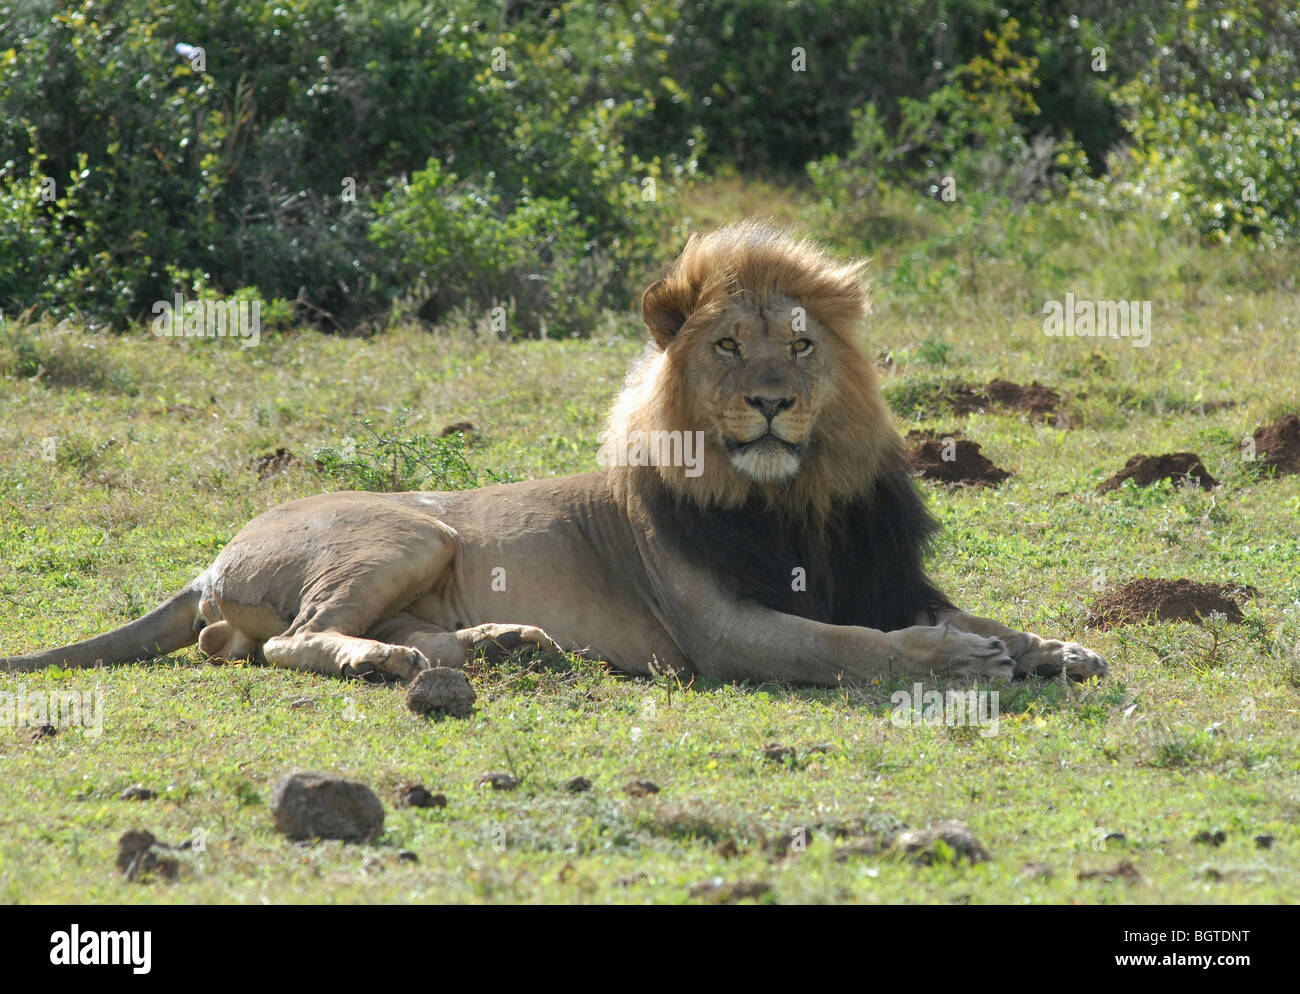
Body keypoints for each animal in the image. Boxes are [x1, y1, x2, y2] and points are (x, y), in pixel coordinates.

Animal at [1, 221, 1108, 685]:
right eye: (726, 346)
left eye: (800, 344)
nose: (772, 403)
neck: (789, 498)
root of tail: (208, 562)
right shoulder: (724, 633)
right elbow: (852, 646)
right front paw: (961, 659)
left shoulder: (874, 573)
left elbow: (961, 610)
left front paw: (1055, 645)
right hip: (408, 530)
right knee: (290, 641)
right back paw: (389, 661)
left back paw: (505, 644)